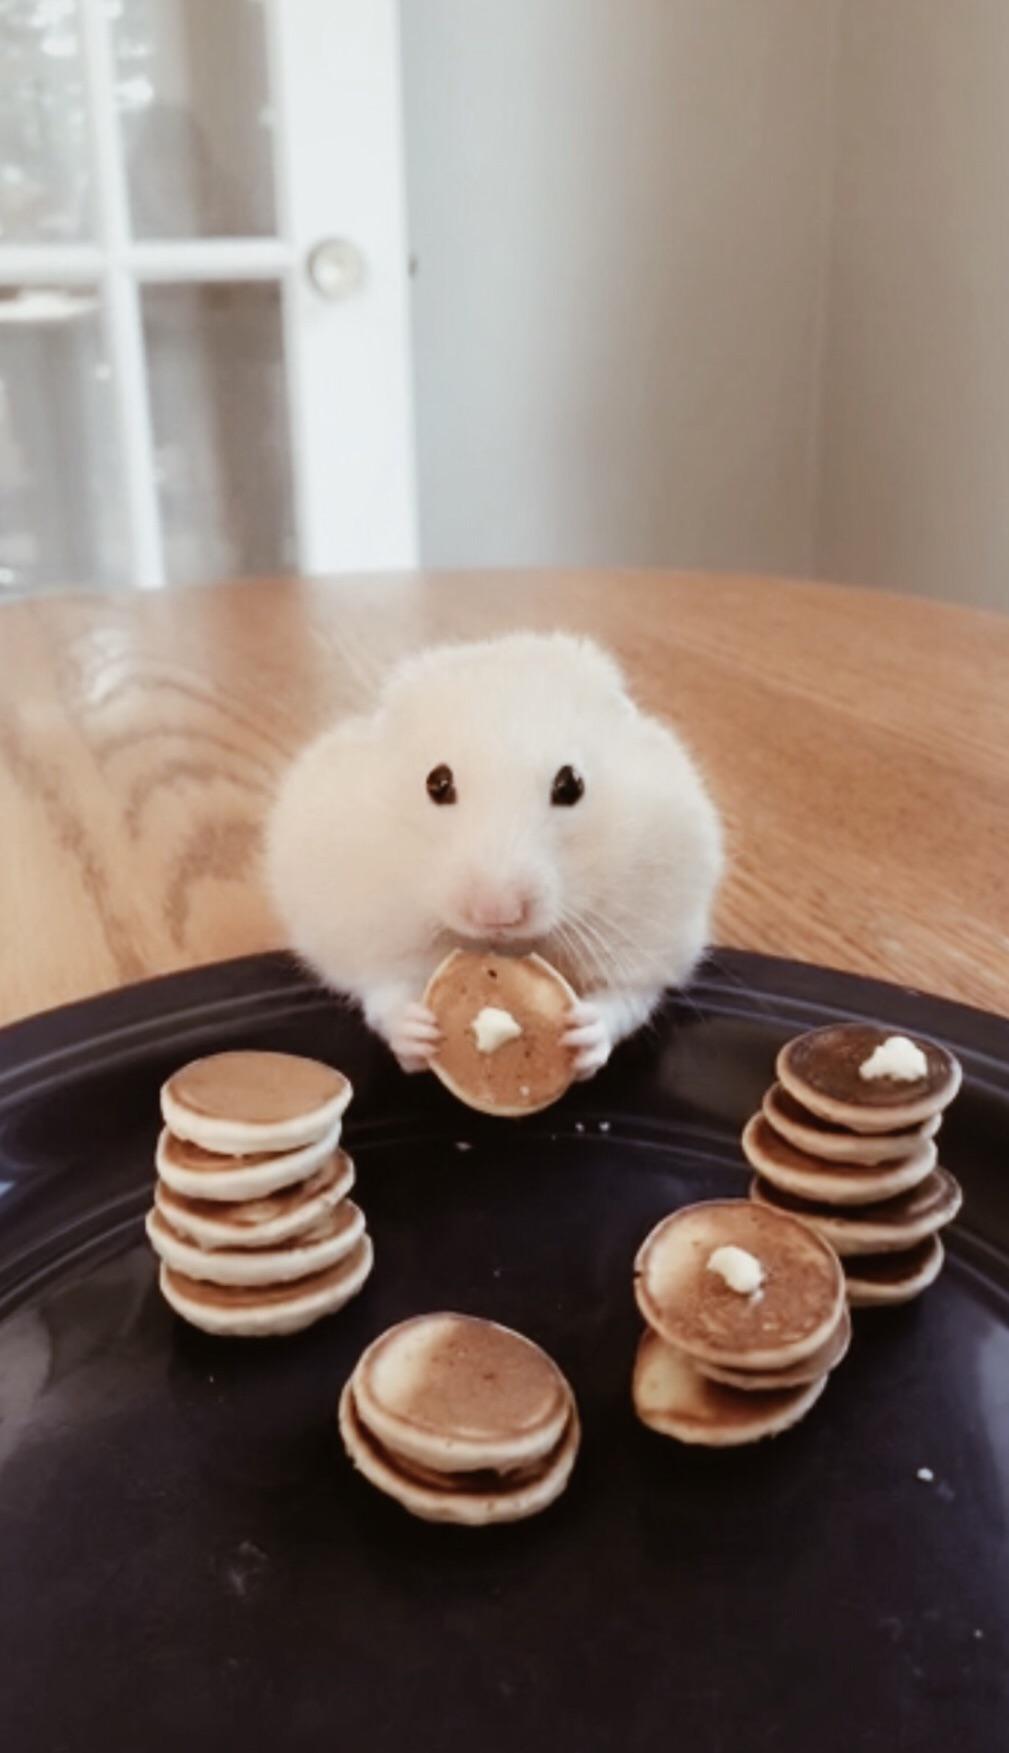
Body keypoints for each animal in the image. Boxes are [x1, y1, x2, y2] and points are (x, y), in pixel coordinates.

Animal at [266, 632, 723, 1079]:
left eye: (571, 784)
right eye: (437, 782)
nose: (497, 914)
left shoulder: (647, 941)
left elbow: (623, 998)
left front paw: (581, 1034)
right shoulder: (369, 937)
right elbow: (386, 992)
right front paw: (418, 1033)